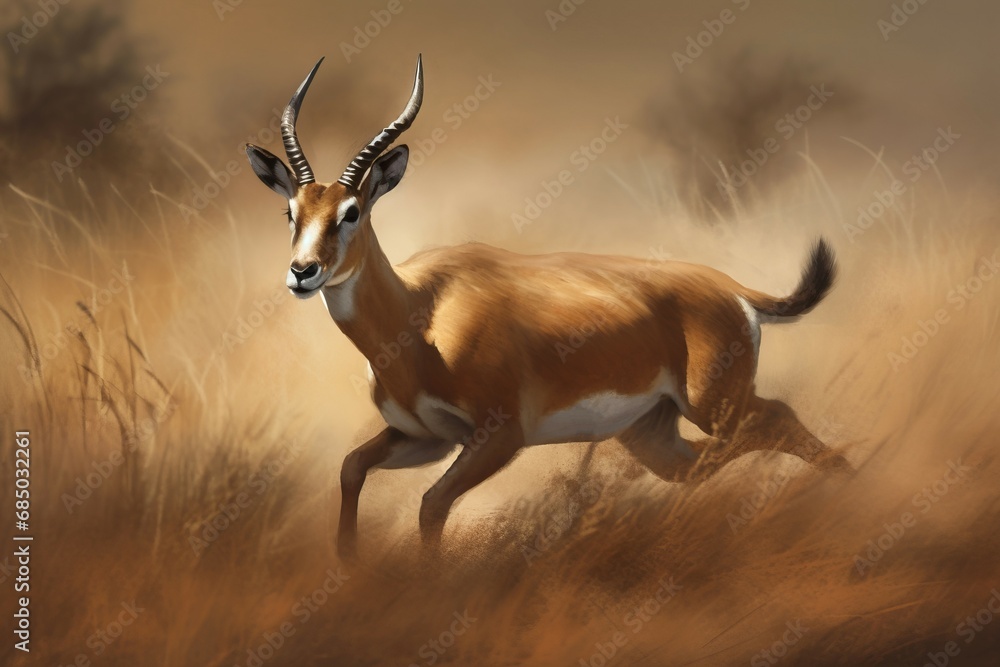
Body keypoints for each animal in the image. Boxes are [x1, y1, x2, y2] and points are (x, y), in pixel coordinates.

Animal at [245, 55, 851, 558]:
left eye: (351, 212)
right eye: (291, 212)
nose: (303, 272)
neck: (420, 317)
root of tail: (734, 290)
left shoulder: (500, 436)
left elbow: (431, 505)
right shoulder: (425, 437)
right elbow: (351, 468)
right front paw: (348, 565)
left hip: (716, 405)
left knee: (780, 420)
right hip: (651, 431)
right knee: (707, 463)